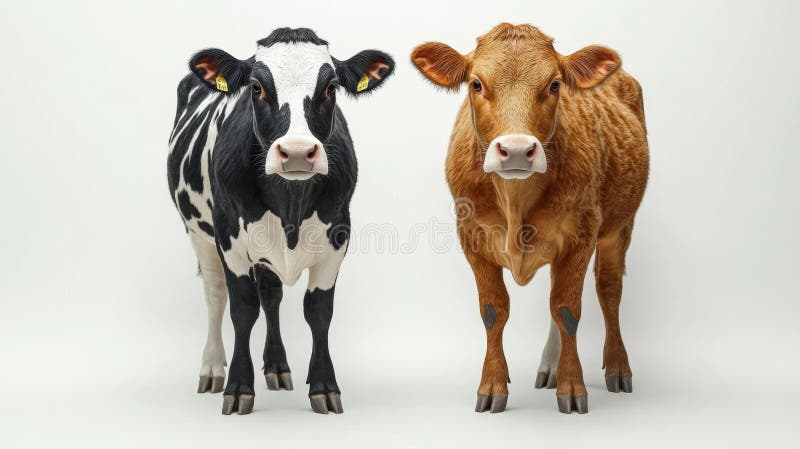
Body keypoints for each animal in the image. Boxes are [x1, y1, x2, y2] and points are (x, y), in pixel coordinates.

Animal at [167, 27, 394, 415]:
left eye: (331, 87)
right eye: (256, 87)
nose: (298, 152)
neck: (290, 206)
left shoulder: (338, 236)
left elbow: (318, 311)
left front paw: (323, 386)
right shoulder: (229, 238)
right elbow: (243, 309)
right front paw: (238, 388)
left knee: (271, 295)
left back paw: (276, 366)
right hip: (198, 232)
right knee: (215, 295)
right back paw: (212, 368)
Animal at [411, 23, 649, 414]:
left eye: (554, 85)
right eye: (476, 83)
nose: (518, 150)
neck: (515, 199)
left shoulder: (581, 234)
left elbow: (568, 310)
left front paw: (572, 387)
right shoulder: (470, 236)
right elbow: (494, 310)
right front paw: (492, 386)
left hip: (621, 224)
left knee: (608, 290)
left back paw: (617, 366)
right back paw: (549, 366)